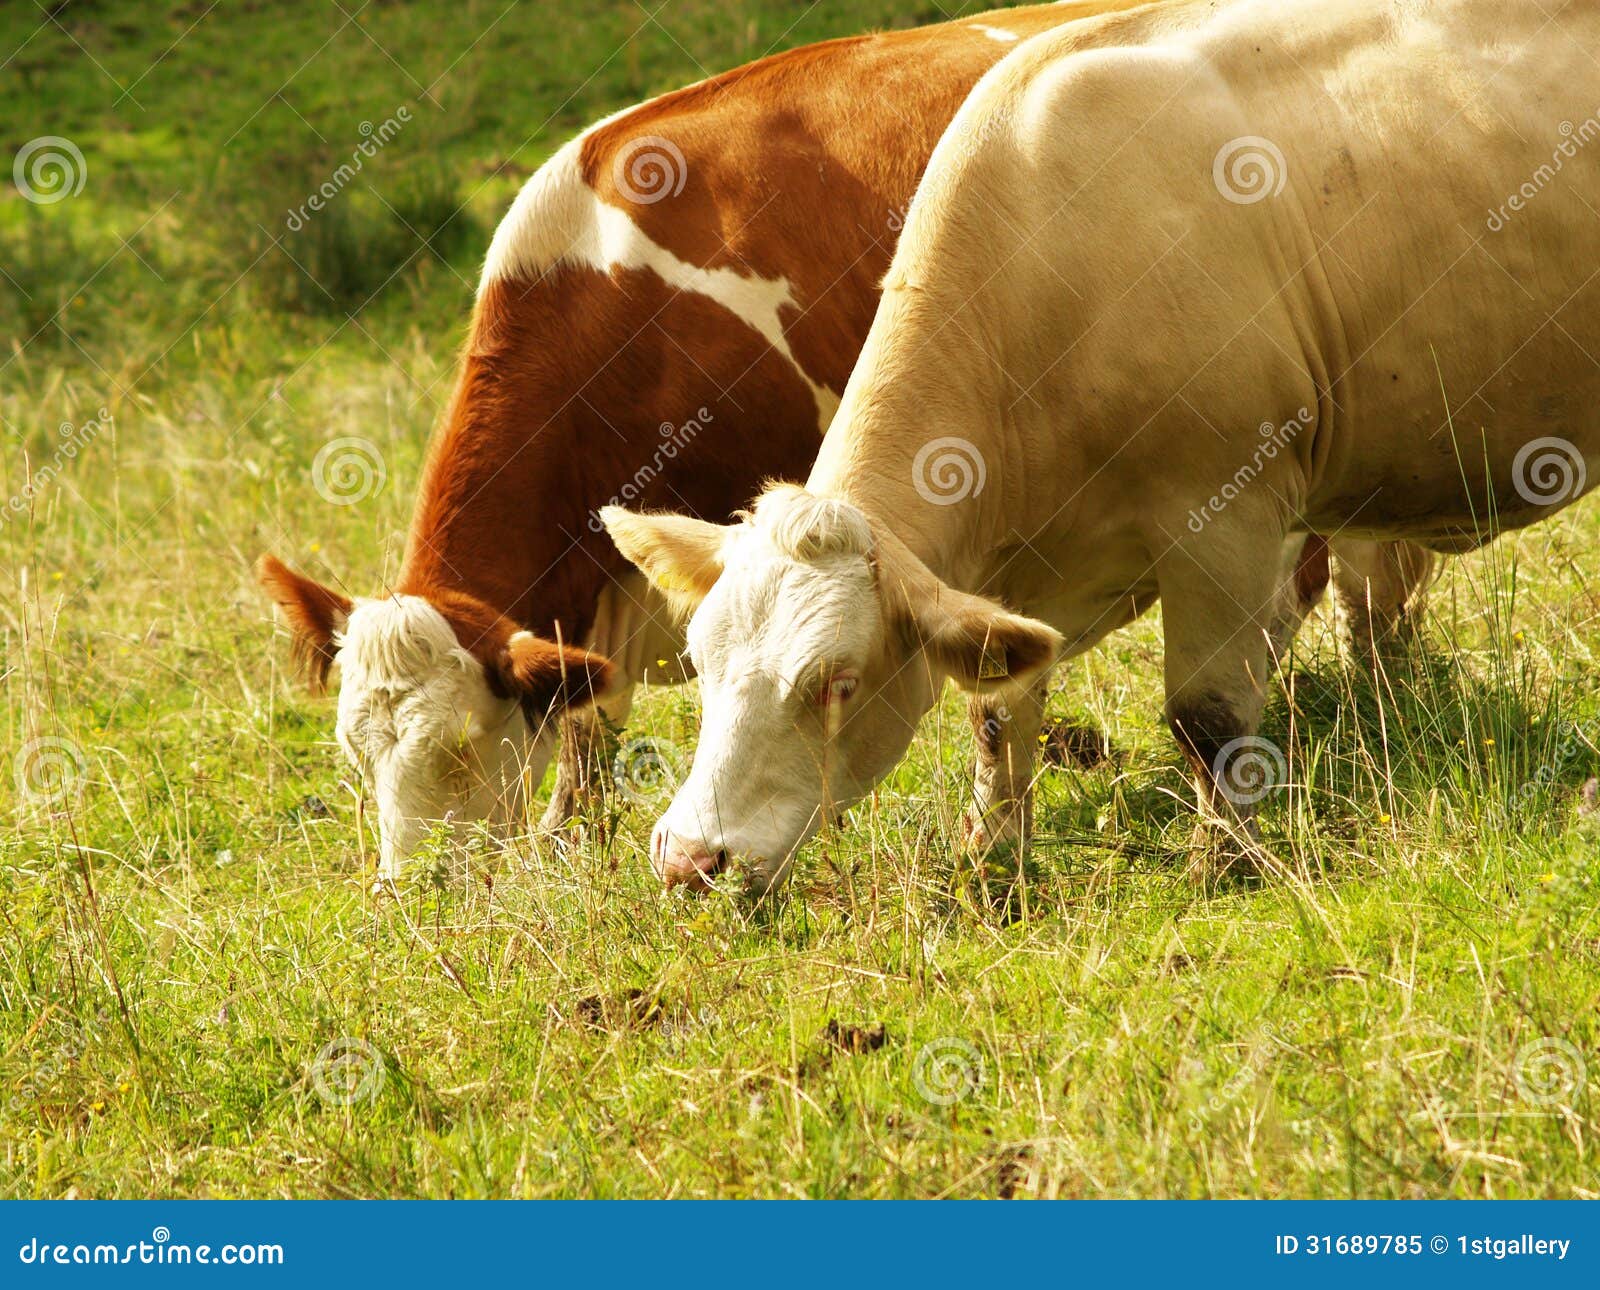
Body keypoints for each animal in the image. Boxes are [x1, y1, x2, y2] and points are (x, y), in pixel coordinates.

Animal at [257, 0, 1421, 881]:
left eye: (459, 750)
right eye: (355, 752)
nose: (413, 894)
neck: (610, 306)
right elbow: (590, 729)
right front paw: (566, 848)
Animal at [604, 0, 1600, 893]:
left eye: (837, 683)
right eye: (701, 664)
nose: (688, 859)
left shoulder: (1226, 515)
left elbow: (1208, 716)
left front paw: (1221, 868)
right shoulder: (1006, 576)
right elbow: (996, 715)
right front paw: (992, 864)